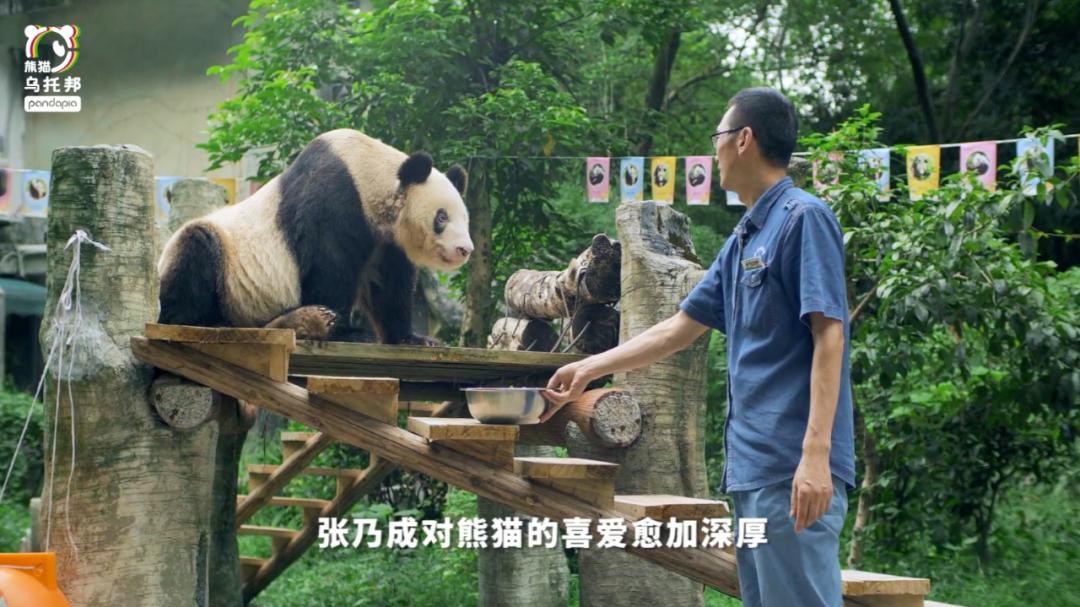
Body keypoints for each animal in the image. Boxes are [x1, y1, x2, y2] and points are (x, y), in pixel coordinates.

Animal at [157, 129, 473, 345]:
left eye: (465, 219)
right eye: (442, 217)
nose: (464, 249)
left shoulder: (386, 237)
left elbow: (388, 286)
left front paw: (413, 338)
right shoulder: (333, 198)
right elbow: (329, 267)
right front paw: (348, 331)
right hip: (223, 267)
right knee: (194, 257)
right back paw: (214, 323)